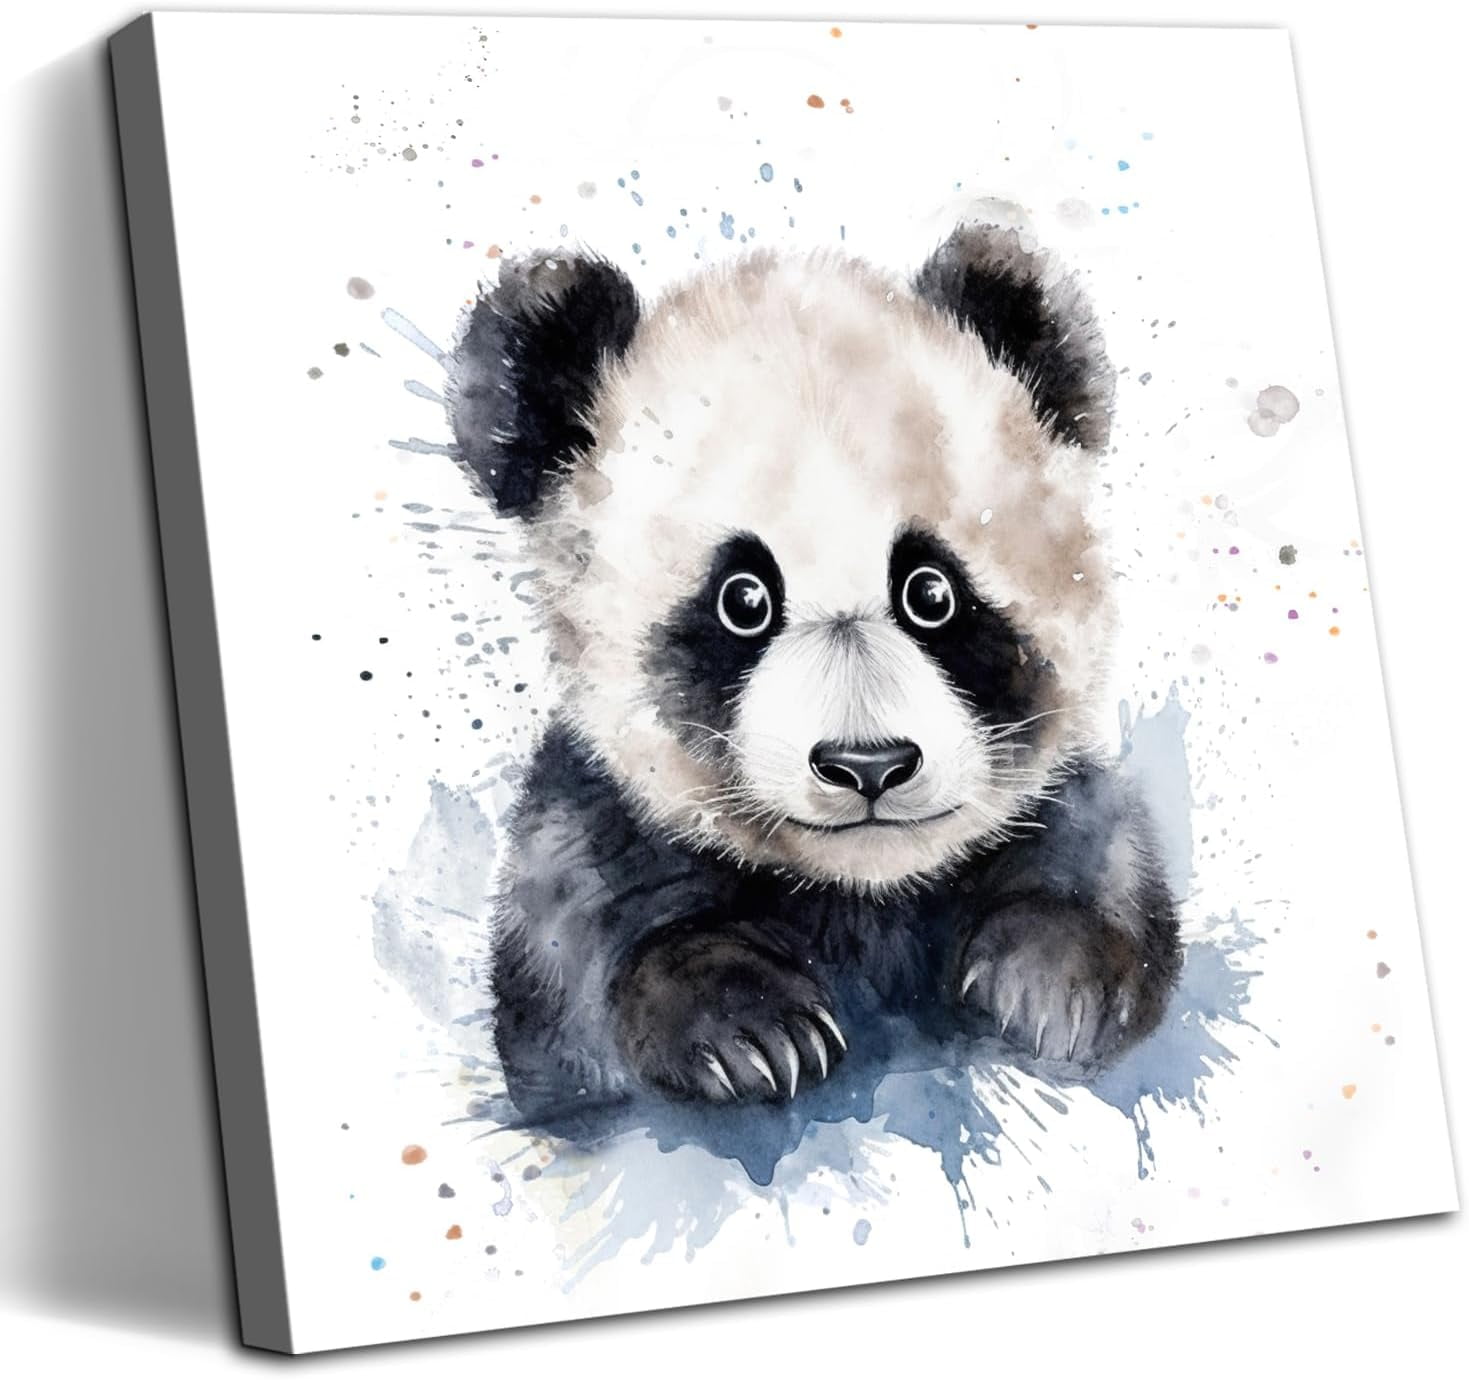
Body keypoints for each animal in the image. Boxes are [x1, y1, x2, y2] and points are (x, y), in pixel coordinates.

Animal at [447, 222, 1181, 1118]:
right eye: (743, 600)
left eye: (931, 591)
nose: (869, 765)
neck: (861, 891)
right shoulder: (592, 825)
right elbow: (573, 964)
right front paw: (752, 1031)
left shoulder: (1056, 803)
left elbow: (1101, 861)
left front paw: (1051, 986)